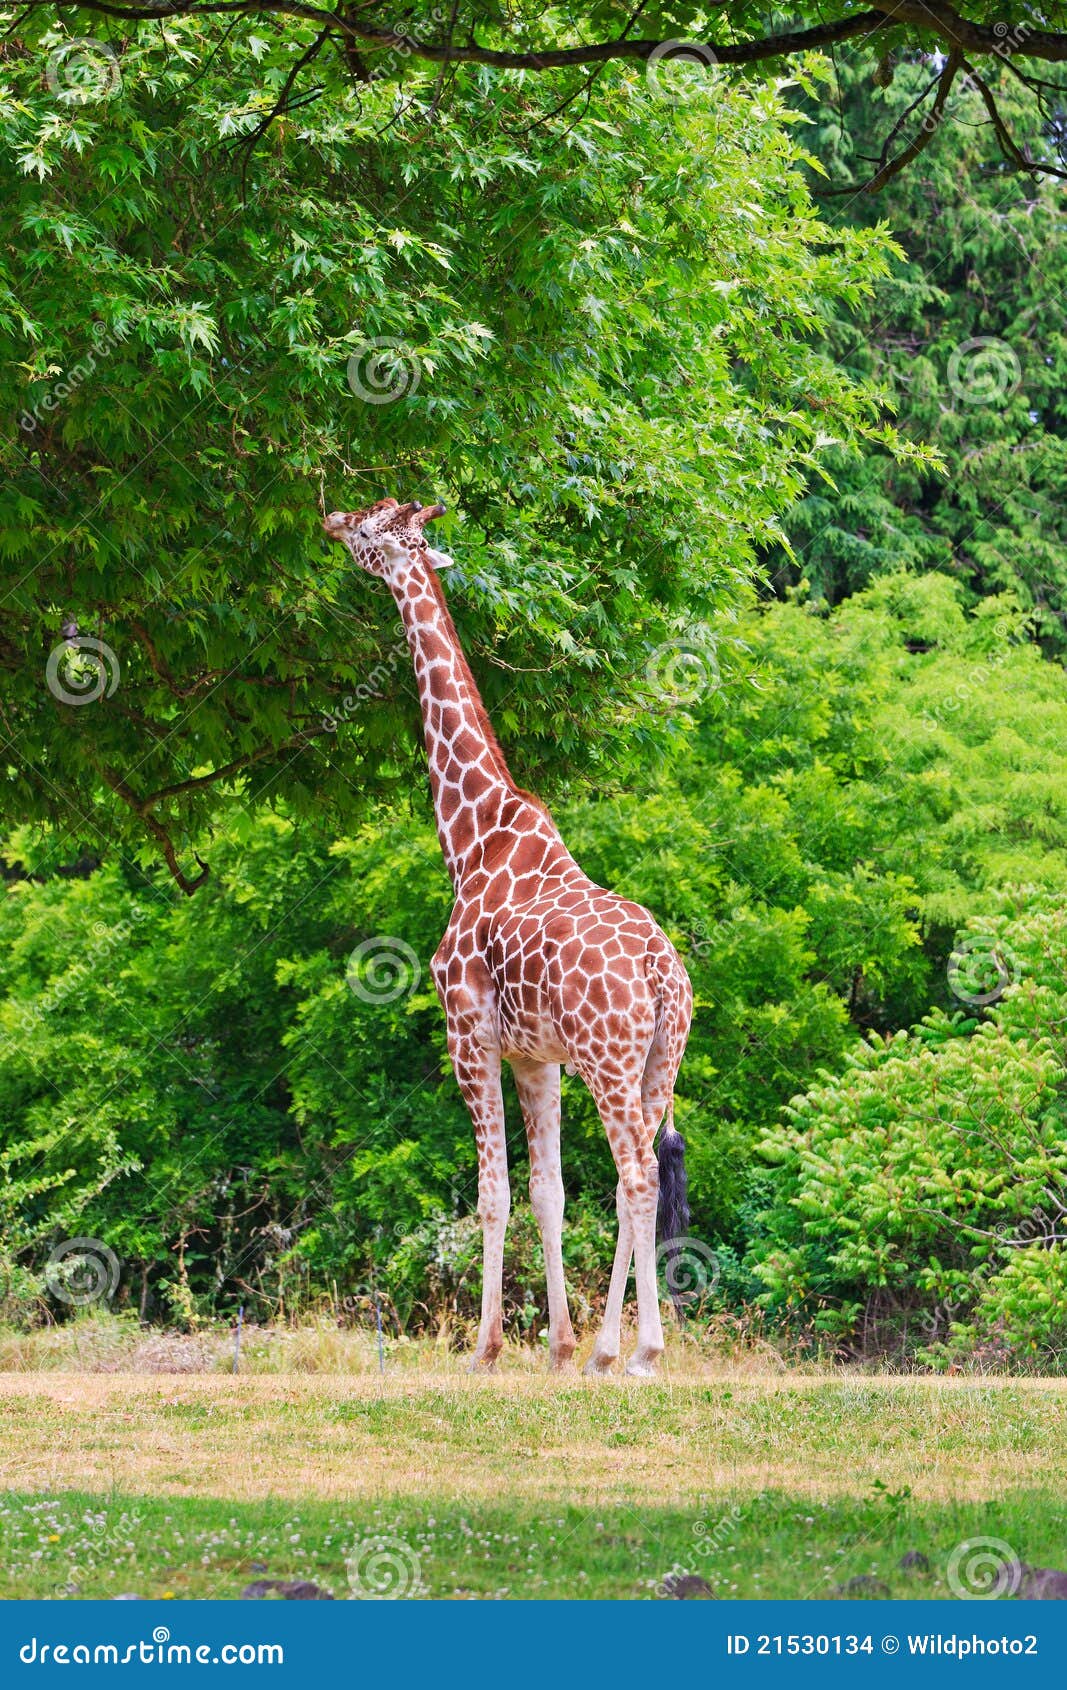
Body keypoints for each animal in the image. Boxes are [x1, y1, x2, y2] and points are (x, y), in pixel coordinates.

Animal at [324, 496, 693, 1376]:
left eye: (374, 529)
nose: (330, 518)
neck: (470, 836)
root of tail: (663, 974)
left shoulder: (468, 1031)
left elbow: (492, 1193)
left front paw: (486, 1349)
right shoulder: (534, 1054)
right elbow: (546, 1192)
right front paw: (556, 1346)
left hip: (608, 1057)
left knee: (634, 1176)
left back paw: (638, 1351)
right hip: (658, 1058)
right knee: (635, 1179)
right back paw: (605, 1350)